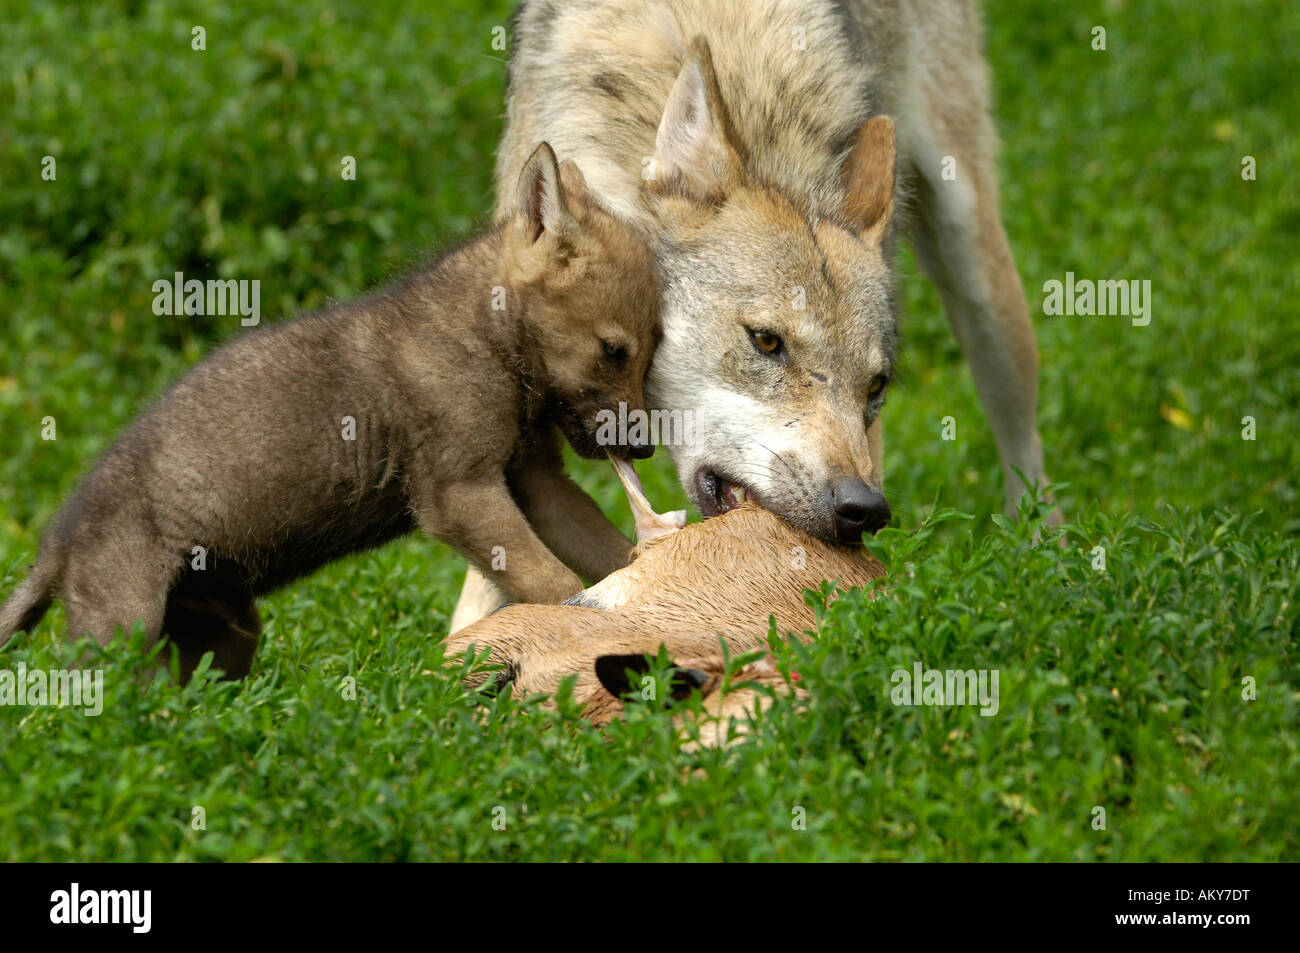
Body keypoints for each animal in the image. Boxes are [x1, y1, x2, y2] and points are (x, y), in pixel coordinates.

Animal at [0, 144, 661, 680]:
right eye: (614, 351)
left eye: (652, 351)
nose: (644, 448)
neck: (487, 338)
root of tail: (55, 540)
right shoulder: (459, 493)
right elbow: (558, 584)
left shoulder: (535, 479)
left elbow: (610, 556)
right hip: (123, 625)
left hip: (224, 631)